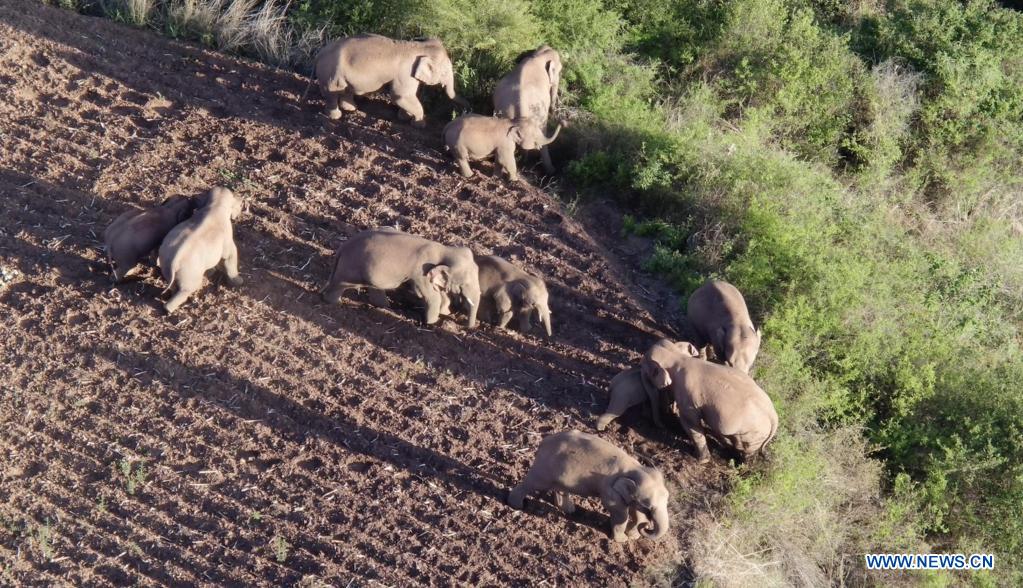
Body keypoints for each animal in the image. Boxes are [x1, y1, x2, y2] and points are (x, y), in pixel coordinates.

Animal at [309, 34, 467, 126]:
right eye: (445, 72)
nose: (468, 108)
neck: (419, 46)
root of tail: (319, 54)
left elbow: (405, 97)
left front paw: (403, 117)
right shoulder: (405, 73)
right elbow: (401, 96)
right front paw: (419, 123)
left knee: (345, 89)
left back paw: (352, 109)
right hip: (329, 74)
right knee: (331, 93)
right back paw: (335, 116)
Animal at [320, 228, 481, 327]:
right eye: (465, 284)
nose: (466, 326)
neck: (445, 249)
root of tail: (342, 247)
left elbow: (441, 295)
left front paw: (445, 313)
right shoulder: (420, 273)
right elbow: (432, 296)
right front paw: (433, 323)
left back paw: (385, 306)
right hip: (349, 270)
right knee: (340, 285)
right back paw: (335, 303)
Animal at [508, 430, 670, 543]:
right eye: (648, 506)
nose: (648, 526)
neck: (636, 468)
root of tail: (544, 441)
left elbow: (636, 512)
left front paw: (633, 536)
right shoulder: (610, 491)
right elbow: (620, 514)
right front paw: (622, 541)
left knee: (560, 487)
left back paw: (568, 510)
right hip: (543, 468)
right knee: (531, 483)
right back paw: (516, 505)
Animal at [641, 338, 778, 463]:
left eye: (645, 372)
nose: (663, 426)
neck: (677, 356)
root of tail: (774, 417)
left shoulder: (689, 399)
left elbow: (691, 424)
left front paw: (701, 460)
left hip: (753, 434)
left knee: (746, 449)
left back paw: (740, 462)